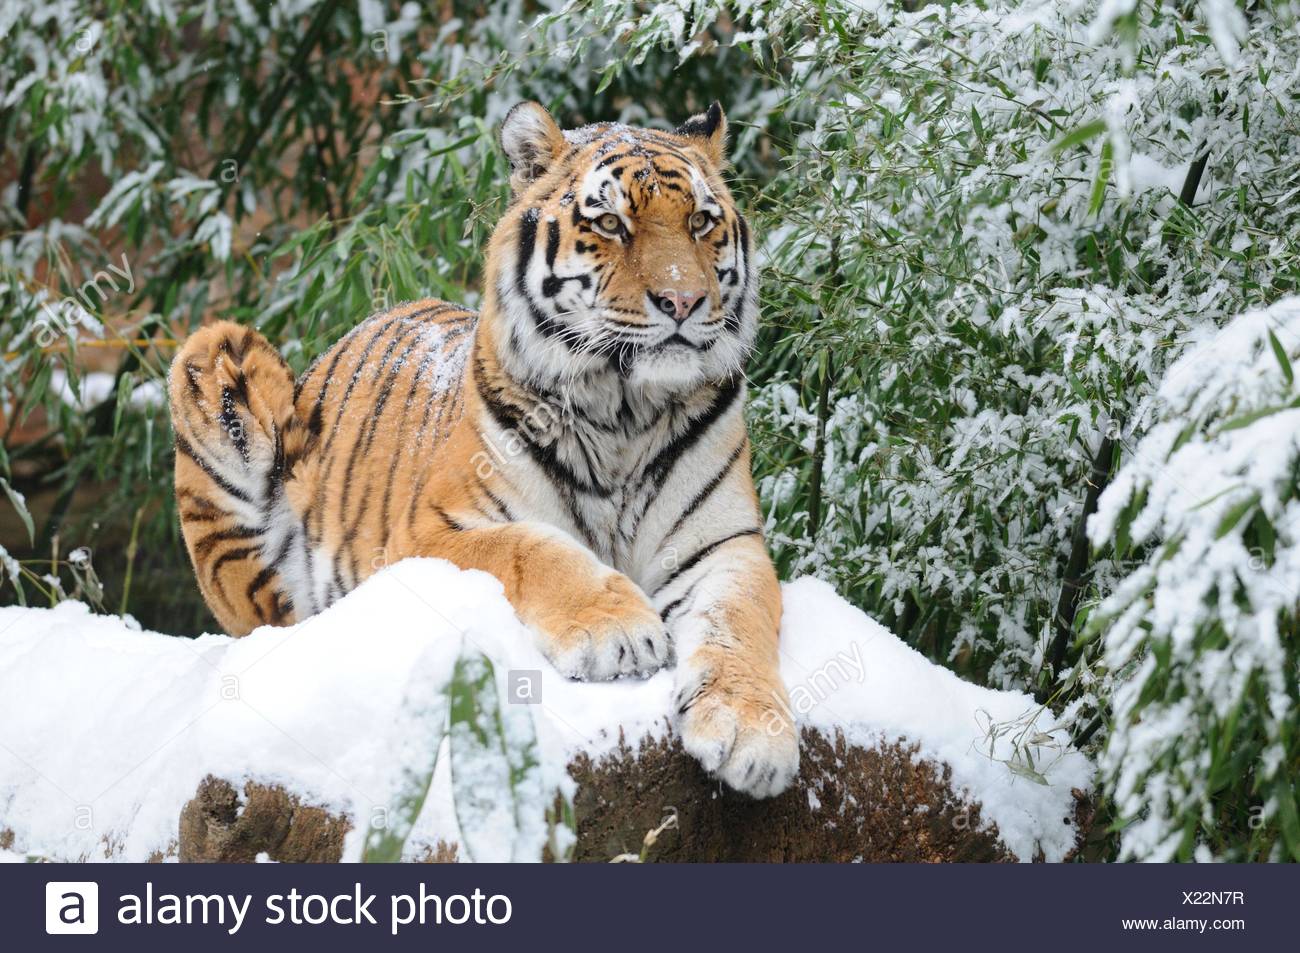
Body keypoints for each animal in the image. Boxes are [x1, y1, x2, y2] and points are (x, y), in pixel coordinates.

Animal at [168, 101, 798, 798]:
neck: (624, 413)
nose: (683, 301)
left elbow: (736, 621)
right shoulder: (424, 535)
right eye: (610, 222)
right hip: (217, 355)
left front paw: (752, 731)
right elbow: (531, 548)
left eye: (700, 221)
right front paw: (619, 629)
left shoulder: (724, 545)